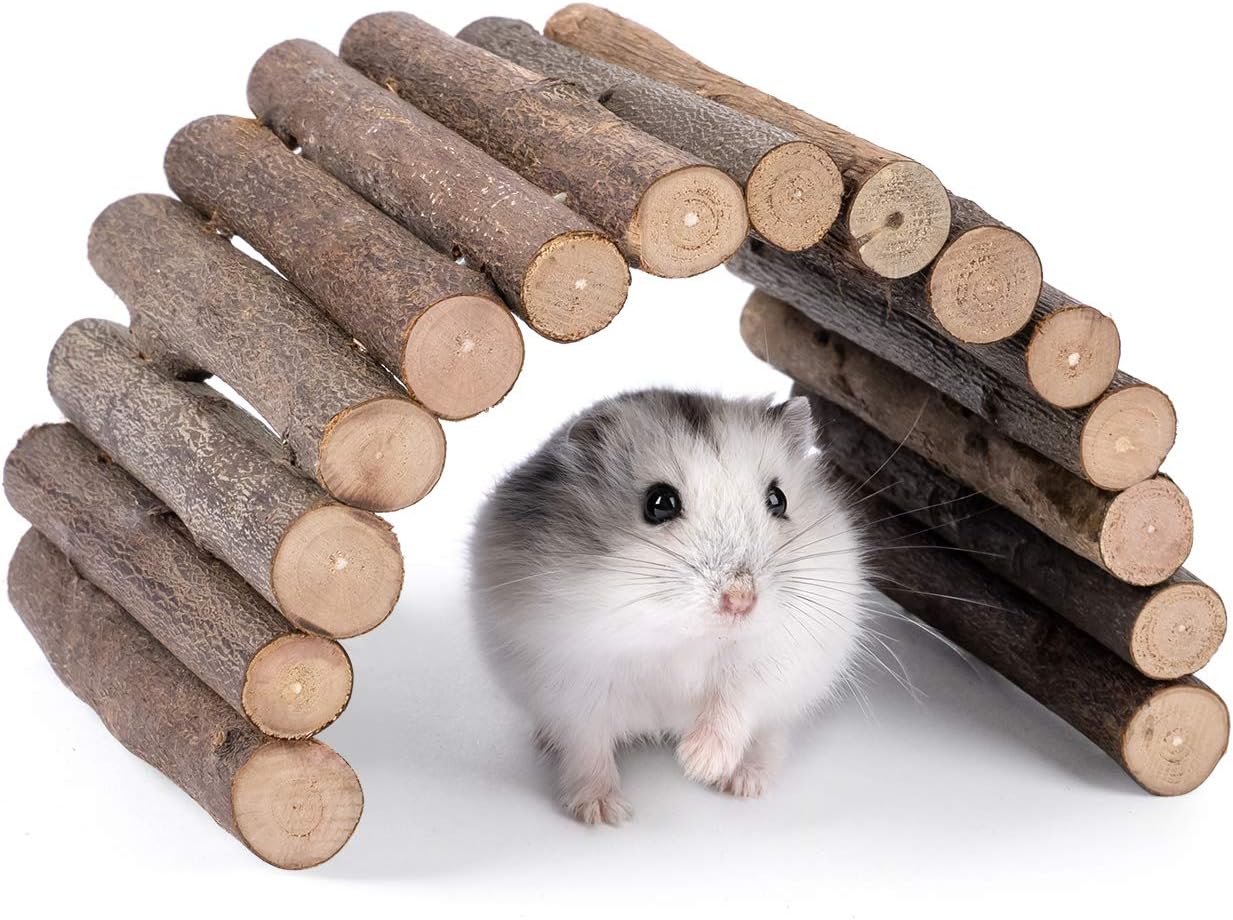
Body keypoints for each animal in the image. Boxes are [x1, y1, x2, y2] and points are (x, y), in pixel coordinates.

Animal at [468, 389, 869, 824]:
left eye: (777, 499)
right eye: (660, 504)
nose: (741, 601)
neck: (685, 636)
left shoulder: (777, 660)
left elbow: (734, 702)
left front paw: (698, 764)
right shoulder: (573, 681)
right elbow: (588, 747)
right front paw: (604, 814)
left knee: (770, 740)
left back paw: (743, 783)